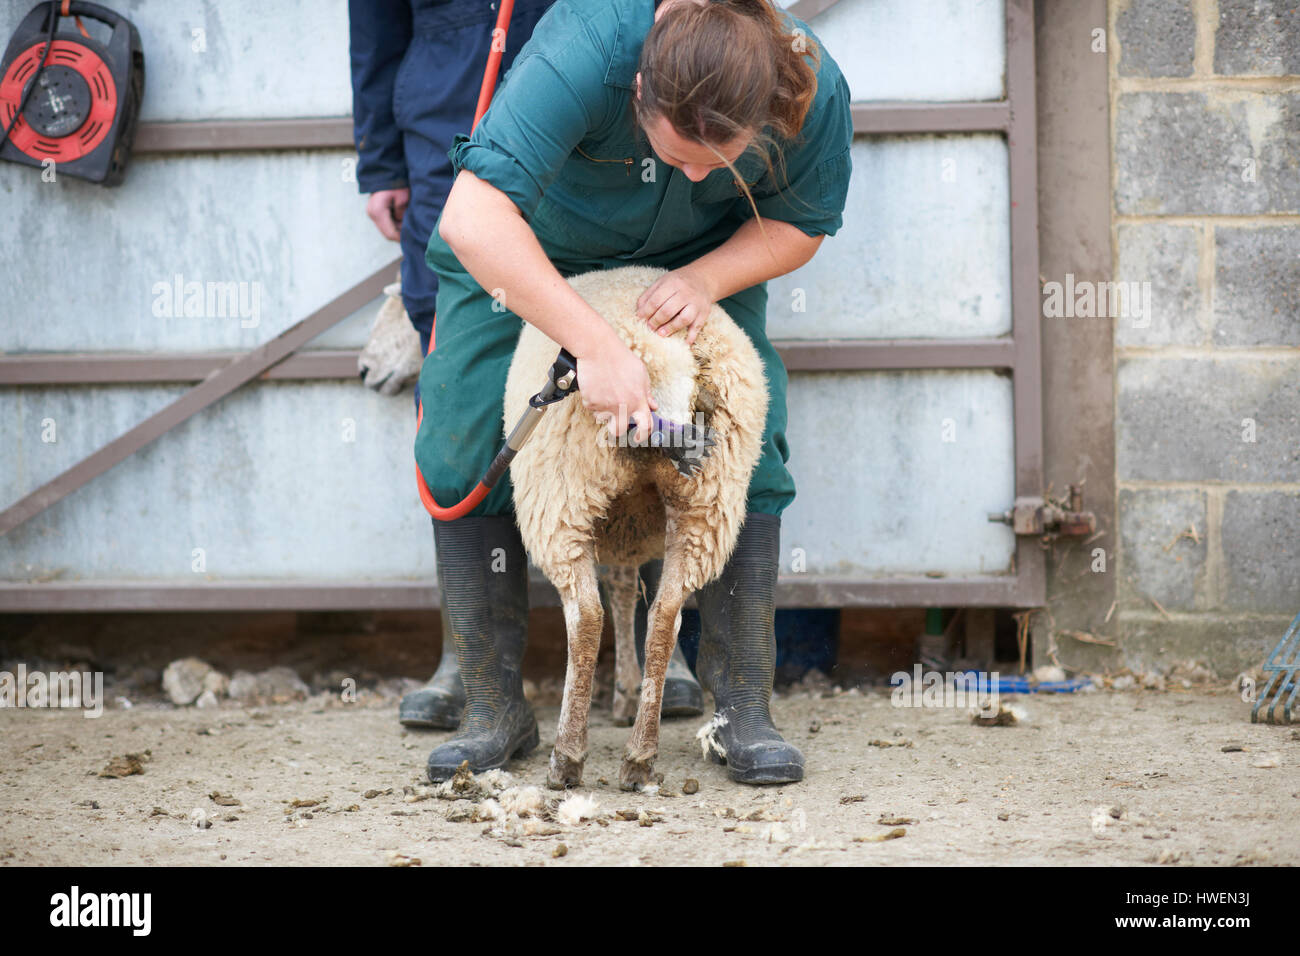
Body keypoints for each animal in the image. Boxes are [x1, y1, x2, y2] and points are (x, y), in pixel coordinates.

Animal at [503, 264, 769, 791]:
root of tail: (665, 360)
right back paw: (640, 757)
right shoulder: (627, 532)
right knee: (665, 617)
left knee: (585, 618)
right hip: (706, 501)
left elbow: (613, 599)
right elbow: (627, 592)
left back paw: (566, 757)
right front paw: (627, 692)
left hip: (559, 492)